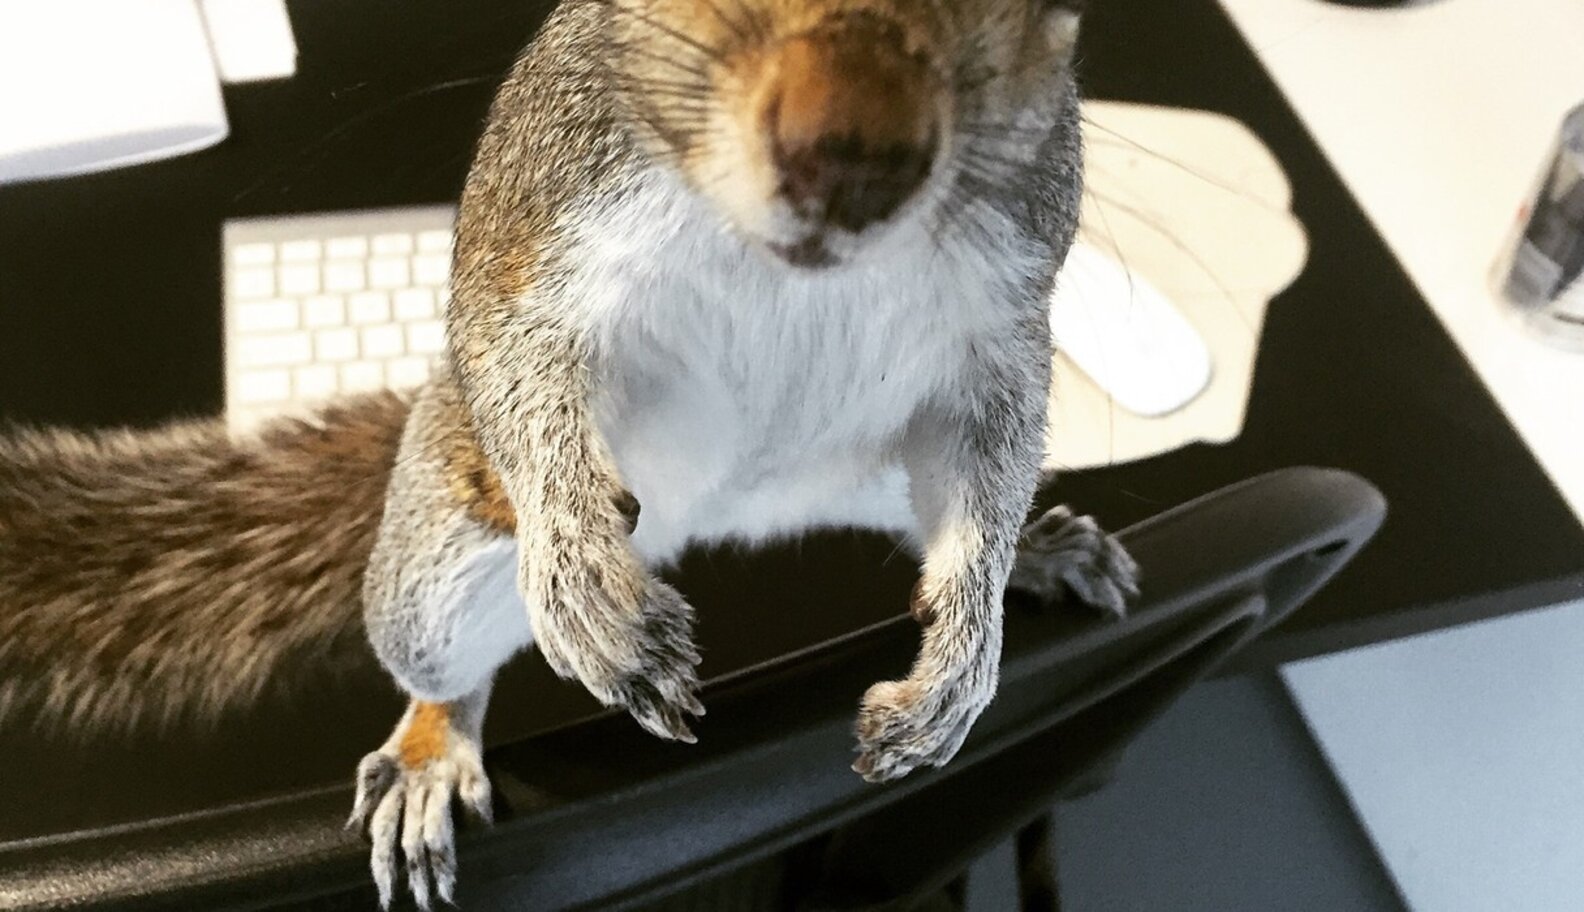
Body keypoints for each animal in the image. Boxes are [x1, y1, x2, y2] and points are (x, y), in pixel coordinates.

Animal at [0, 0, 1144, 907]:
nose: (853, 151)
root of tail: (715, 516)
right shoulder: (545, 195)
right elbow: (508, 343)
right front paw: (580, 574)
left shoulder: (1007, 310)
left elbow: (997, 449)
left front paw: (965, 663)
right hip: (442, 553)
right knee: (438, 655)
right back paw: (433, 746)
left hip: (868, 471)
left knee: (939, 514)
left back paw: (1039, 552)